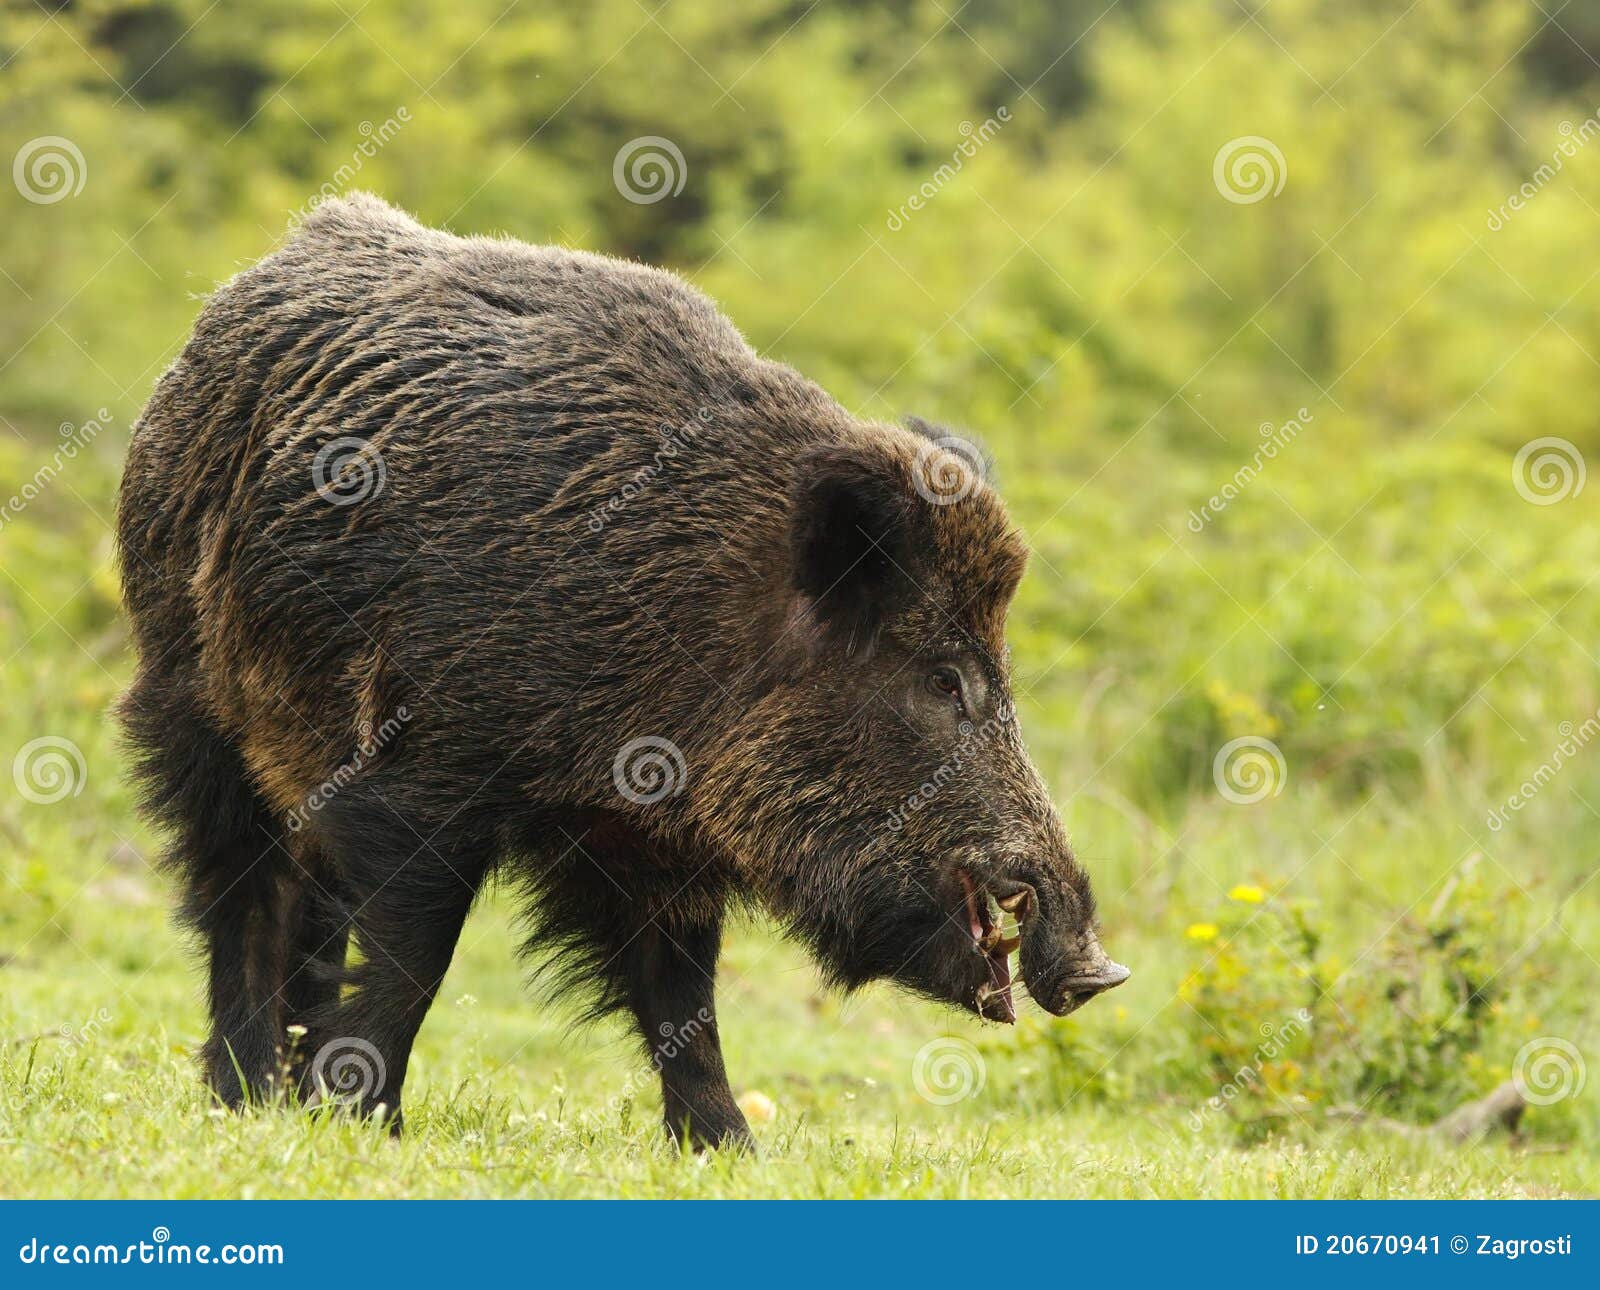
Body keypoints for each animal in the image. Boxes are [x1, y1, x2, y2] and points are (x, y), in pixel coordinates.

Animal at [116, 193, 1128, 1150]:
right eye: (944, 680)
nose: (1099, 968)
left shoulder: (651, 843)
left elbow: (682, 996)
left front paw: (728, 1151)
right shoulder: (420, 773)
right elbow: (415, 958)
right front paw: (365, 1121)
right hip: (193, 702)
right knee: (244, 889)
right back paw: (244, 1097)